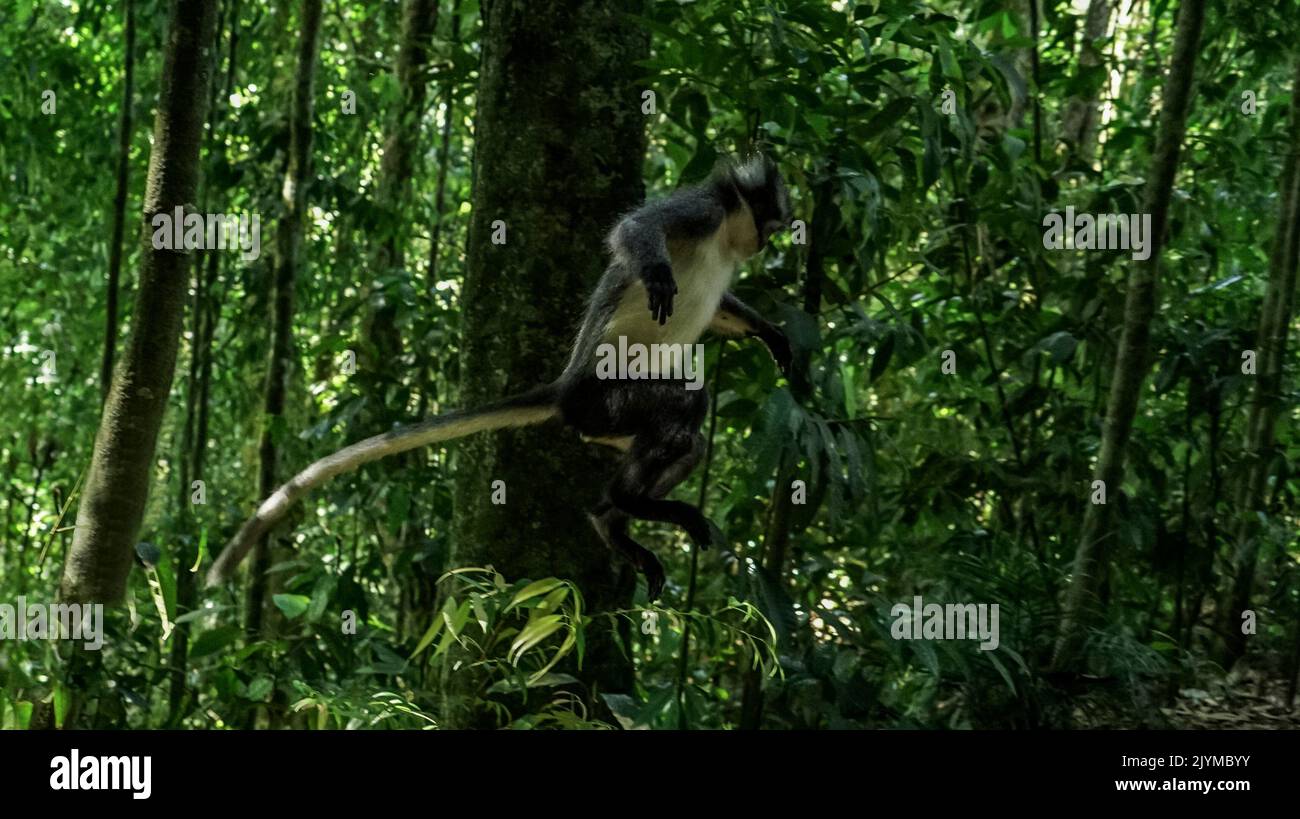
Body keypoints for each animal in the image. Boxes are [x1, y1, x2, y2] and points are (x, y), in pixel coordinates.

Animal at [207, 154, 793, 601]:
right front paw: (655, 274)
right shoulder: (702, 213)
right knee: (685, 407)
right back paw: (625, 502)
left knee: (688, 441)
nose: (766, 246)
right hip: (603, 401)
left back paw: (611, 519)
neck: (724, 243)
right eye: (769, 226)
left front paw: (771, 333)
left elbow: (724, 312)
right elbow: (634, 229)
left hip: (605, 426)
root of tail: (565, 389)